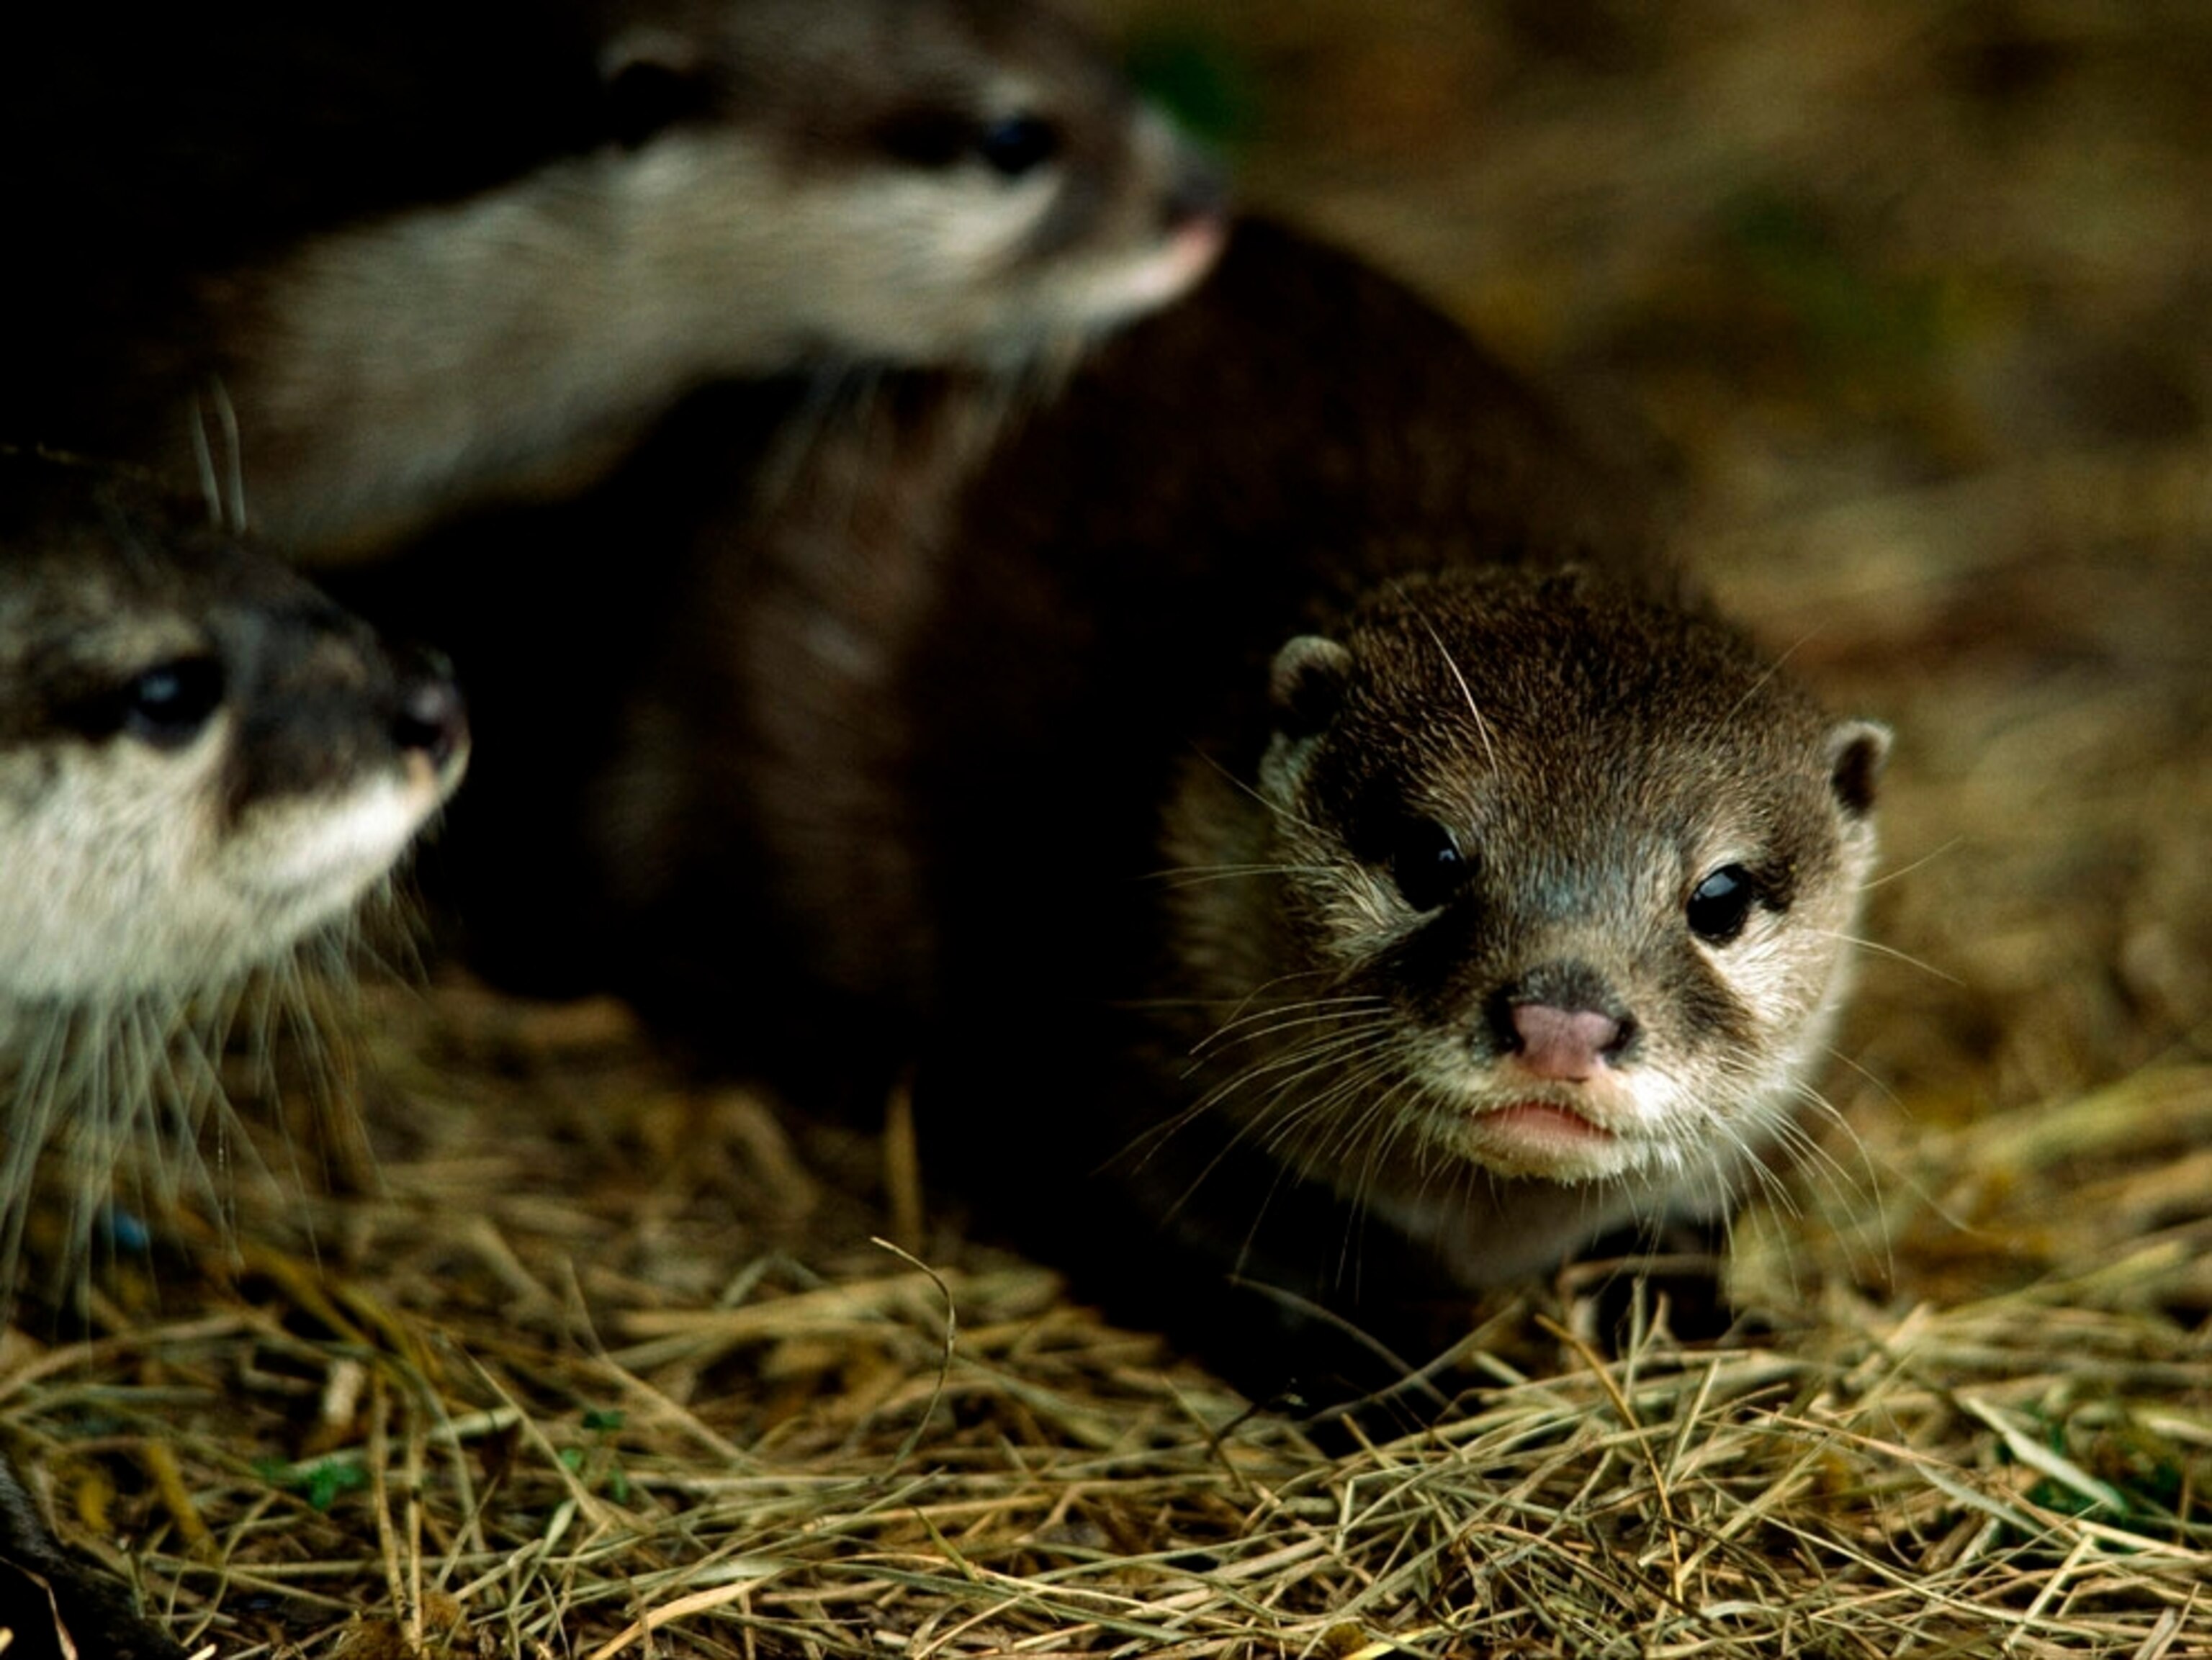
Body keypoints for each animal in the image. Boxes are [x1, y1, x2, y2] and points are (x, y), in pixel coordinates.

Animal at [369, 220, 1886, 1390]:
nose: (1561, 1019)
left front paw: (1695, 1312)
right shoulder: (1104, 1000)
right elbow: (1186, 1223)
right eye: (1429, 854)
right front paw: (1391, 1367)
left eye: (1720, 896)